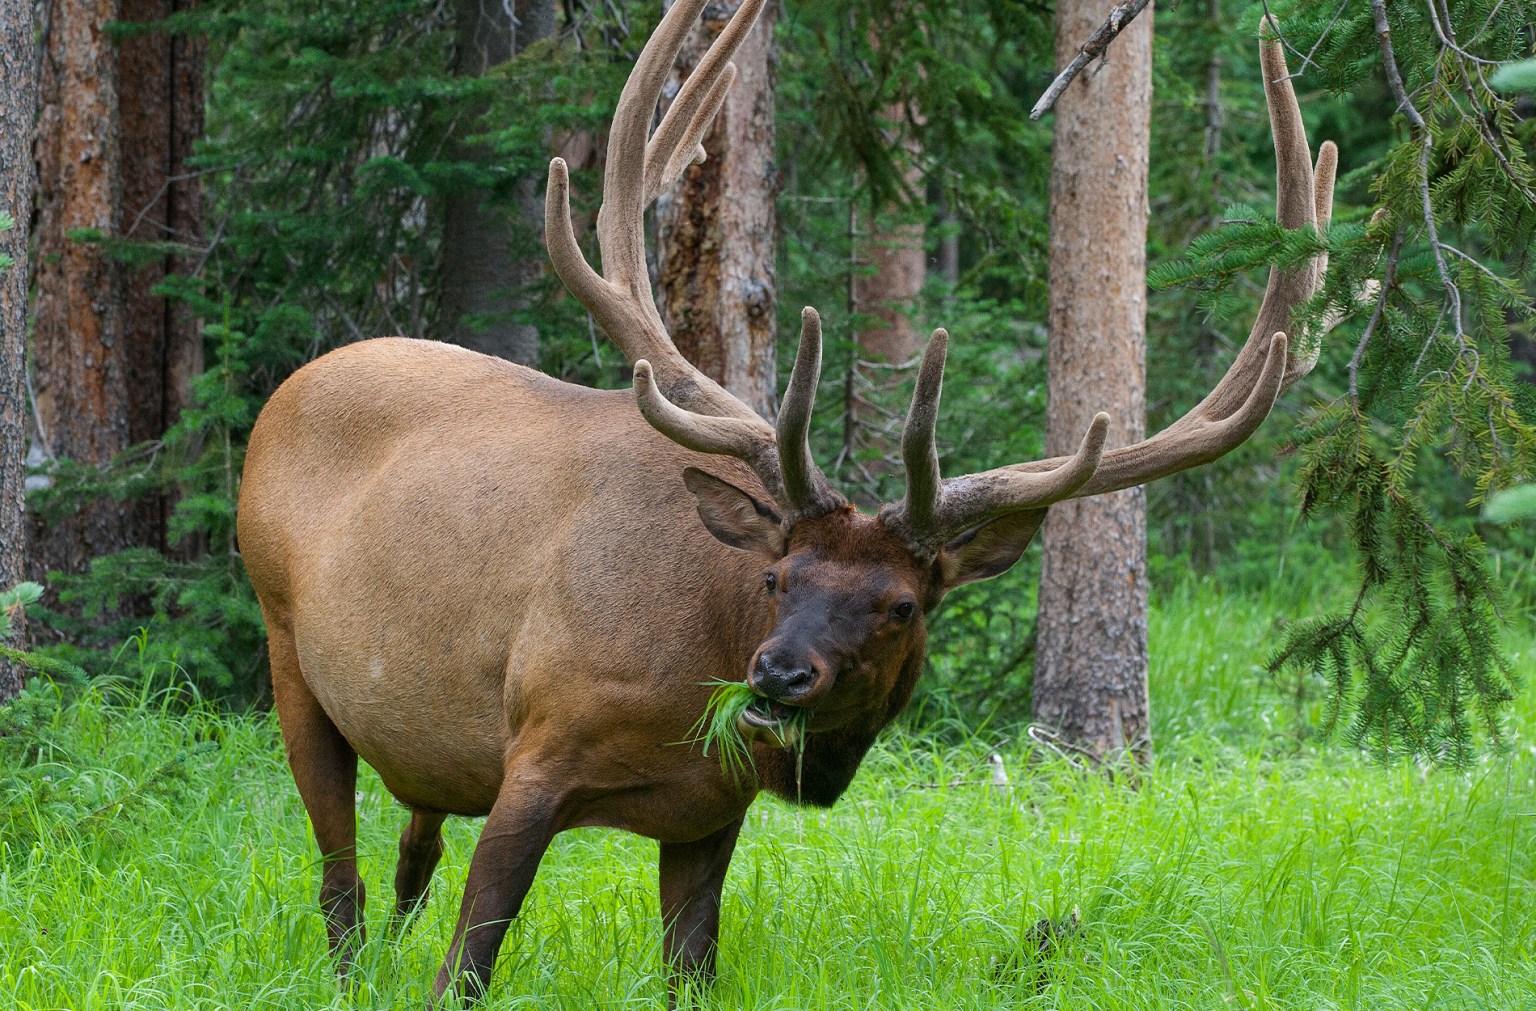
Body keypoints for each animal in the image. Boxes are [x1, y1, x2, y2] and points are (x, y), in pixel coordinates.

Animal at [235, 0, 1336, 1002]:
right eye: (779, 576)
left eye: (902, 604)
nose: (778, 673)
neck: (693, 676)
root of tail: (286, 392)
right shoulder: (537, 750)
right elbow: (465, 967)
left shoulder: (707, 816)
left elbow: (691, 973)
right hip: (289, 651)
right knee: (340, 882)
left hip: (424, 750)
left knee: (409, 856)